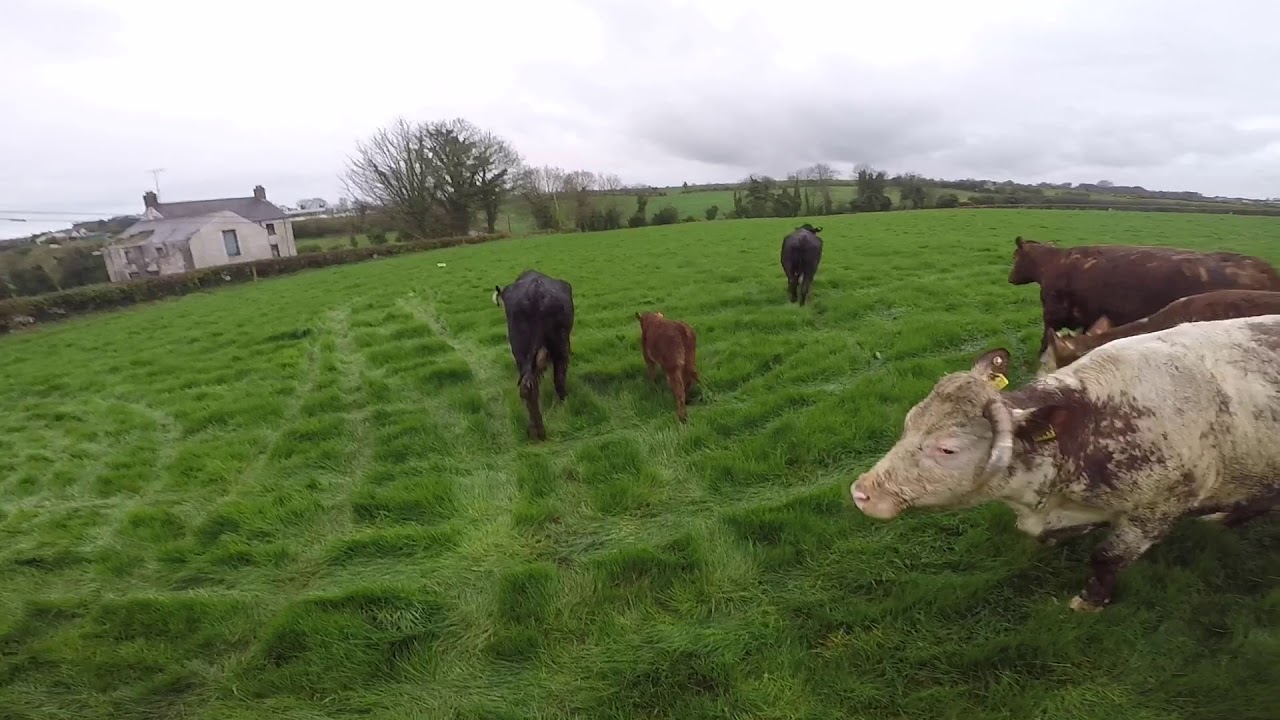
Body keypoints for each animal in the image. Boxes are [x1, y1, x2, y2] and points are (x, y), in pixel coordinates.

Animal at [493, 269, 574, 441]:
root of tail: (534, 292)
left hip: (521, 351)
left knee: (527, 387)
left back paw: (534, 432)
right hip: (560, 345)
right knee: (558, 378)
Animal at [850, 315, 1280, 612]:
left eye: (947, 450)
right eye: (909, 422)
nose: (861, 492)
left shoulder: (1156, 512)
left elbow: (1106, 559)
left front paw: (1090, 601)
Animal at [1008, 236, 1280, 357]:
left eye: (1015, 256)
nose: (1010, 278)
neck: (1053, 263)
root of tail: (1264, 269)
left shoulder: (1052, 313)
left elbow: (1046, 338)